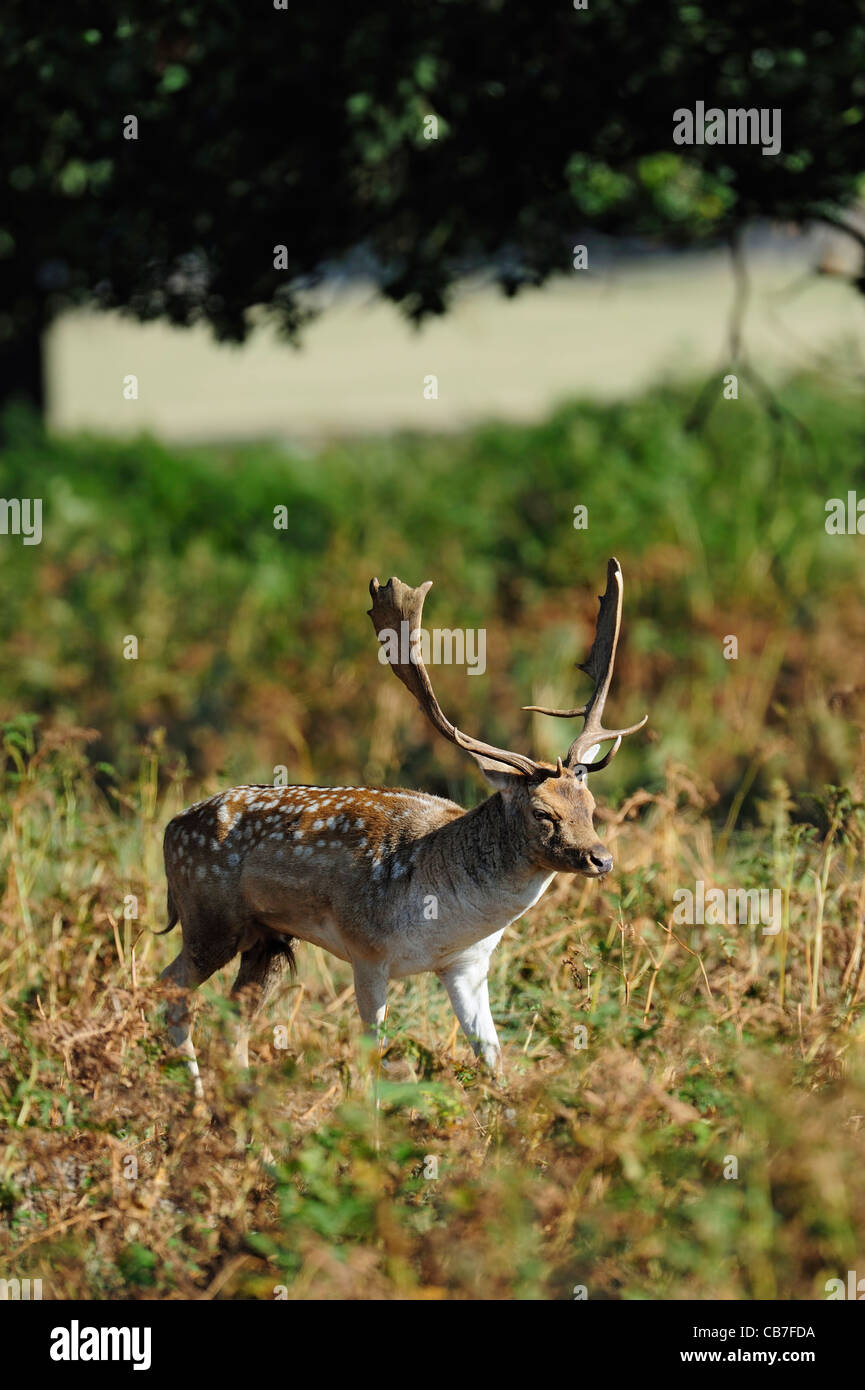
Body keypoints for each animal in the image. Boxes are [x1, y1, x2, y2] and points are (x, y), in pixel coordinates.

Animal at [157, 557, 646, 1097]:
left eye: (591, 805)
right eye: (543, 813)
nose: (601, 858)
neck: (446, 918)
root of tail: (170, 829)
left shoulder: (468, 965)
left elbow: (492, 1058)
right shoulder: (367, 950)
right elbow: (372, 1059)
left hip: (267, 940)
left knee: (235, 1019)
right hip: (210, 918)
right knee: (172, 990)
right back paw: (195, 1104)